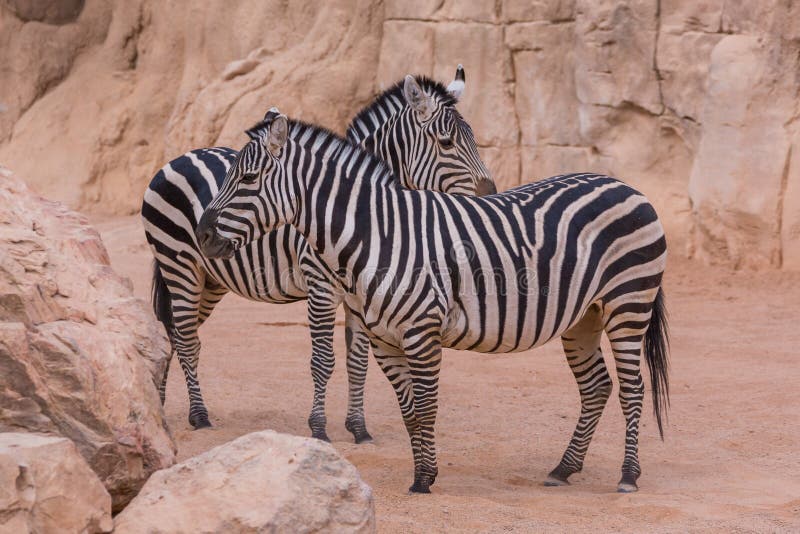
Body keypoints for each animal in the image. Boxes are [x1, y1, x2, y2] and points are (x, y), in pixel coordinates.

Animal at [142, 67, 495, 443]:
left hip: (209, 279)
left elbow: (358, 361)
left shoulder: (359, 294)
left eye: (473, 139)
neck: (360, 210)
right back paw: (198, 414)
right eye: (447, 142)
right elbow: (323, 360)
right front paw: (319, 428)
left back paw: (158, 404)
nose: (491, 195)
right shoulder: (321, 287)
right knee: (186, 340)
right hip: (180, 266)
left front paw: (358, 428)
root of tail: (177, 158)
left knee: (171, 334)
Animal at [196, 110, 670, 494]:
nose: (201, 234)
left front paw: (424, 479)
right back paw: (564, 468)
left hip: (629, 303)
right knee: (597, 386)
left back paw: (628, 476)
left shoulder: (421, 331)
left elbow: (425, 408)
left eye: (248, 179)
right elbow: (409, 411)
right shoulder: (384, 339)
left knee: (632, 388)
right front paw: (424, 472)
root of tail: (624, 184)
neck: (378, 235)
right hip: (583, 316)